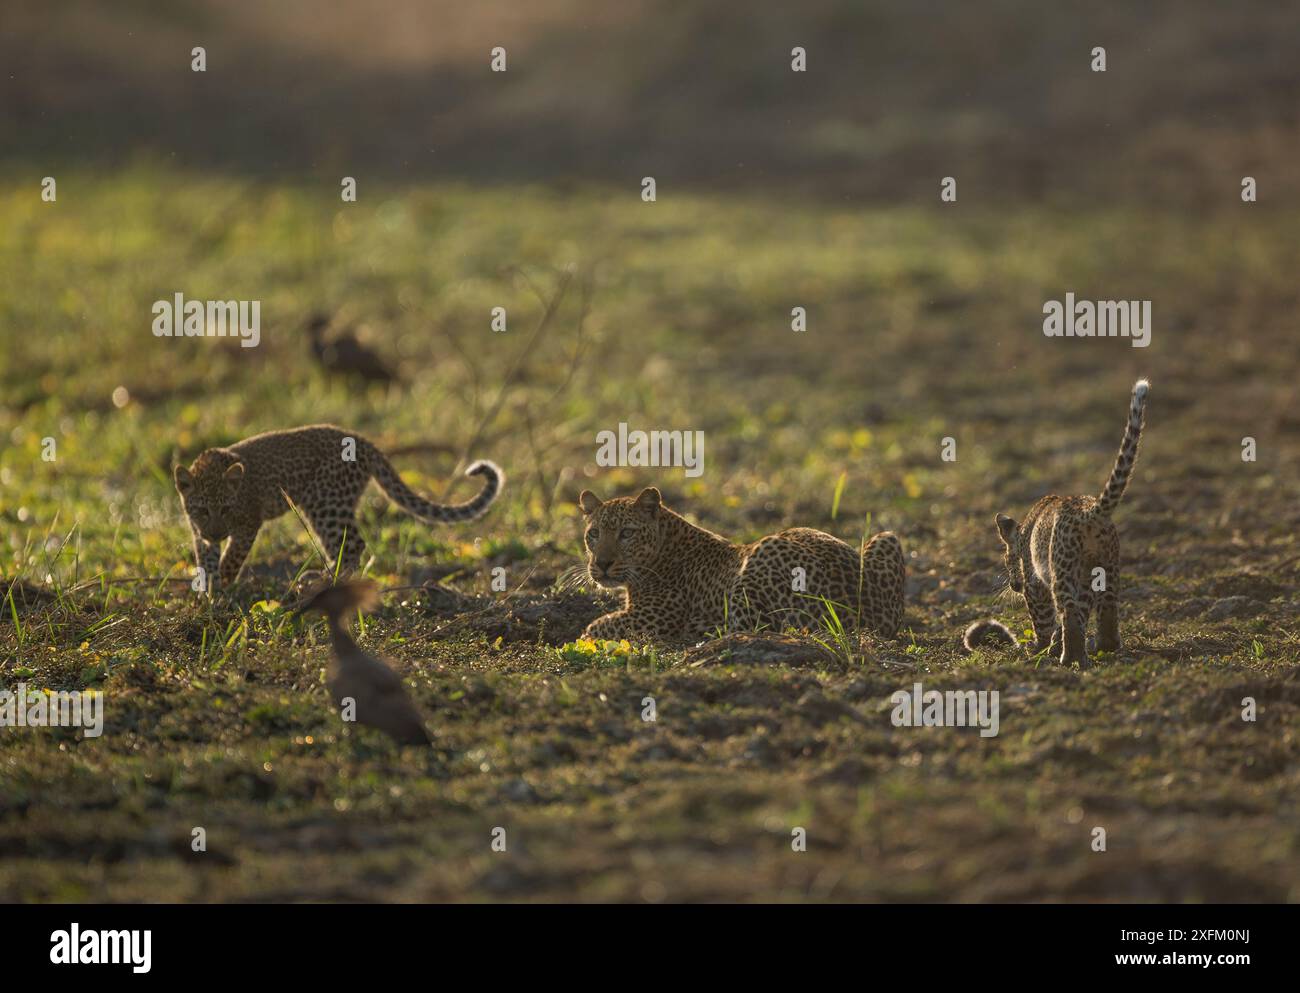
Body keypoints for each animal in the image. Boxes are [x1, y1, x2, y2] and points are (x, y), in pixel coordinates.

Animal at [173, 425, 502, 590]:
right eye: (203, 510)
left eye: (226, 509)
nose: (216, 533)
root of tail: (366, 442)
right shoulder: (199, 533)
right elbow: (206, 559)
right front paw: (207, 591)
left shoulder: (247, 524)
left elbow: (231, 559)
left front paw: (222, 586)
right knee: (342, 546)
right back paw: (324, 577)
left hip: (326, 502)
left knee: (353, 543)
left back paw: (325, 580)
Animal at [577, 486, 905, 645]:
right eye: (593, 534)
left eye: (626, 533)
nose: (602, 564)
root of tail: (867, 614)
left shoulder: (651, 618)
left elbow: (596, 626)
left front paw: (583, 636)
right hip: (886, 537)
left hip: (762, 554)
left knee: (752, 627)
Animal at [972, 378, 1149, 668]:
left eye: (1007, 560)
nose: (1013, 586)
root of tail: (1092, 511)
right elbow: (1078, 615)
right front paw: (1054, 645)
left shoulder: (1034, 584)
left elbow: (1043, 619)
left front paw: (1040, 647)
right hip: (1105, 567)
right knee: (1106, 606)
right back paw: (1105, 647)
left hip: (1063, 568)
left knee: (1067, 609)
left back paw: (1069, 658)